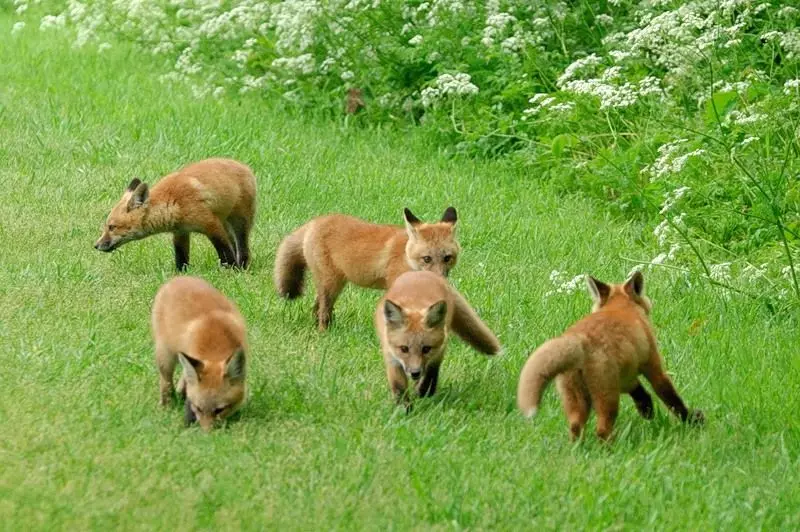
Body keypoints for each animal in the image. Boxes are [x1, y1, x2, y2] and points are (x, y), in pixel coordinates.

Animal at [93, 158, 256, 270]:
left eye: (112, 227)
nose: (96, 245)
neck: (173, 202)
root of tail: (245, 166)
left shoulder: (211, 225)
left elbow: (225, 252)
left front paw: (230, 270)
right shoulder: (180, 232)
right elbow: (181, 258)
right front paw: (180, 276)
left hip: (239, 223)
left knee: (243, 248)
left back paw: (242, 267)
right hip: (225, 223)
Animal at [152, 276, 247, 430]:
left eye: (219, 410)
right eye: (198, 408)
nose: (206, 432)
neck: (216, 344)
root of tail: (178, 278)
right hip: (165, 356)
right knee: (166, 382)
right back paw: (167, 405)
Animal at [276, 207, 460, 328]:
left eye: (447, 258)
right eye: (427, 259)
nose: (440, 280)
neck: (407, 257)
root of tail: (315, 221)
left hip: (335, 284)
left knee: (316, 308)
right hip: (331, 284)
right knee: (322, 311)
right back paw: (323, 332)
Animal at [376, 270, 500, 408]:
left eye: (426, 349)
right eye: (404, 349)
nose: (415, 372)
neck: (414, 305)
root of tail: (423, 272)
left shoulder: (437, 353)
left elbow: (430, 377)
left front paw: (423, 396)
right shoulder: (391, 357)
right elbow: (399, 389)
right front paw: (405, 409)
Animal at [520, 270, 700, 440]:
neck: (619, 306)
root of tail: (578, 341)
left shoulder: (626, 374)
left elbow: (638, 390)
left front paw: (646, 408)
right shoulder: (653, 366)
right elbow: (671, 398)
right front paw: (692, 420)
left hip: (577, 398)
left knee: (575, 426)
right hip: (607, 397)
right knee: (602, 429)